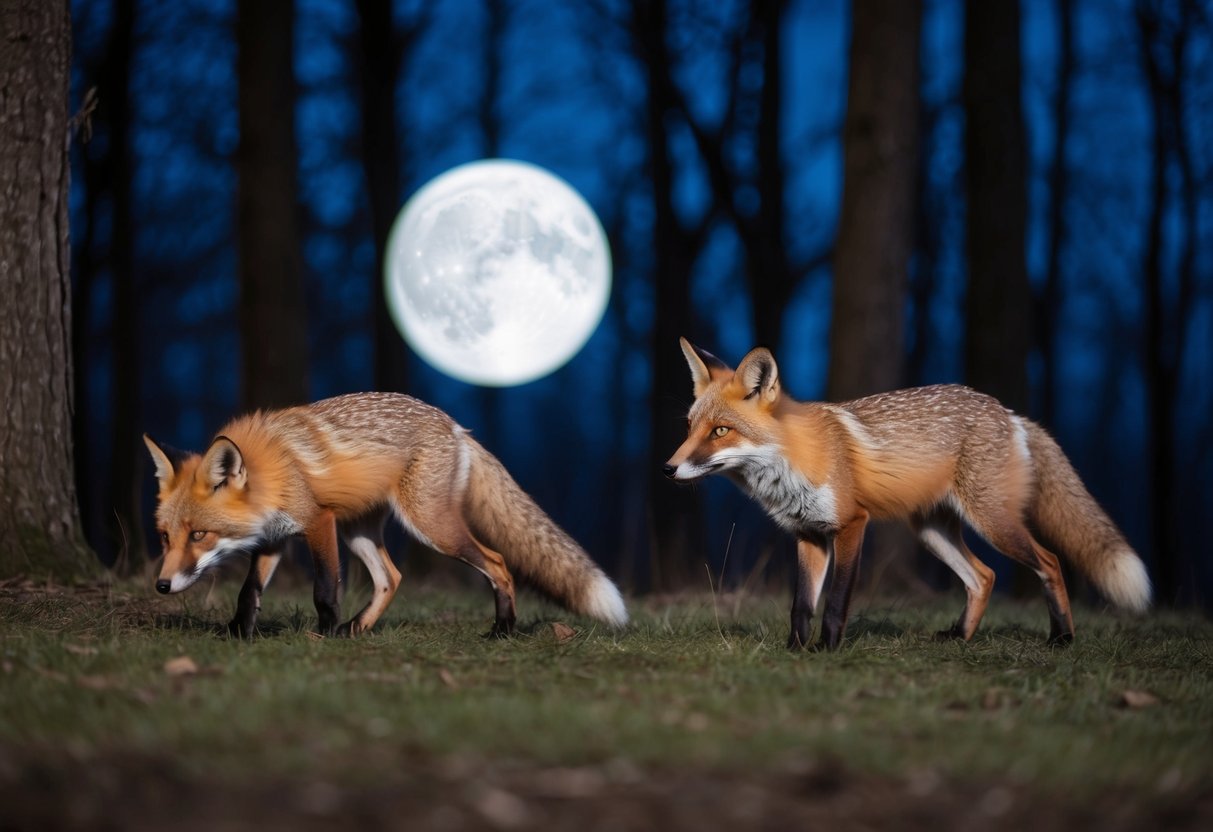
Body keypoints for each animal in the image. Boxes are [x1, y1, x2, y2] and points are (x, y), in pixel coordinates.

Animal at [144, 392, 628, 638]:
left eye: (200, 535)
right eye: (166, 537)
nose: (162, 586)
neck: (272, 470)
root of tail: (457, 427)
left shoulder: (318, 522)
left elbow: (324, 590)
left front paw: (321, 637)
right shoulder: (274, 537)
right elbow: (249, 593)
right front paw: (238, 635)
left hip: (431, 528)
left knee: (498, 563)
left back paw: (502, 631)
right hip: (360, 532)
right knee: (391, 577)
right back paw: (358, 628)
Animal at [664, 338, 1151, 650]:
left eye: (721, 431)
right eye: (689, 427)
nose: (668, 469)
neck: (792, 463)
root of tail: (1009, 412)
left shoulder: (851, 525)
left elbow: (835, 601)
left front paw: (826, 652)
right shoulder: (808, 535)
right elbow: (801, 605)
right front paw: (794, 651)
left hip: (994, 523)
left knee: (1049, 563)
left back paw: (1062, 638)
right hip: (931, 531)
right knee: (984, 577)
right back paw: (960, 638)